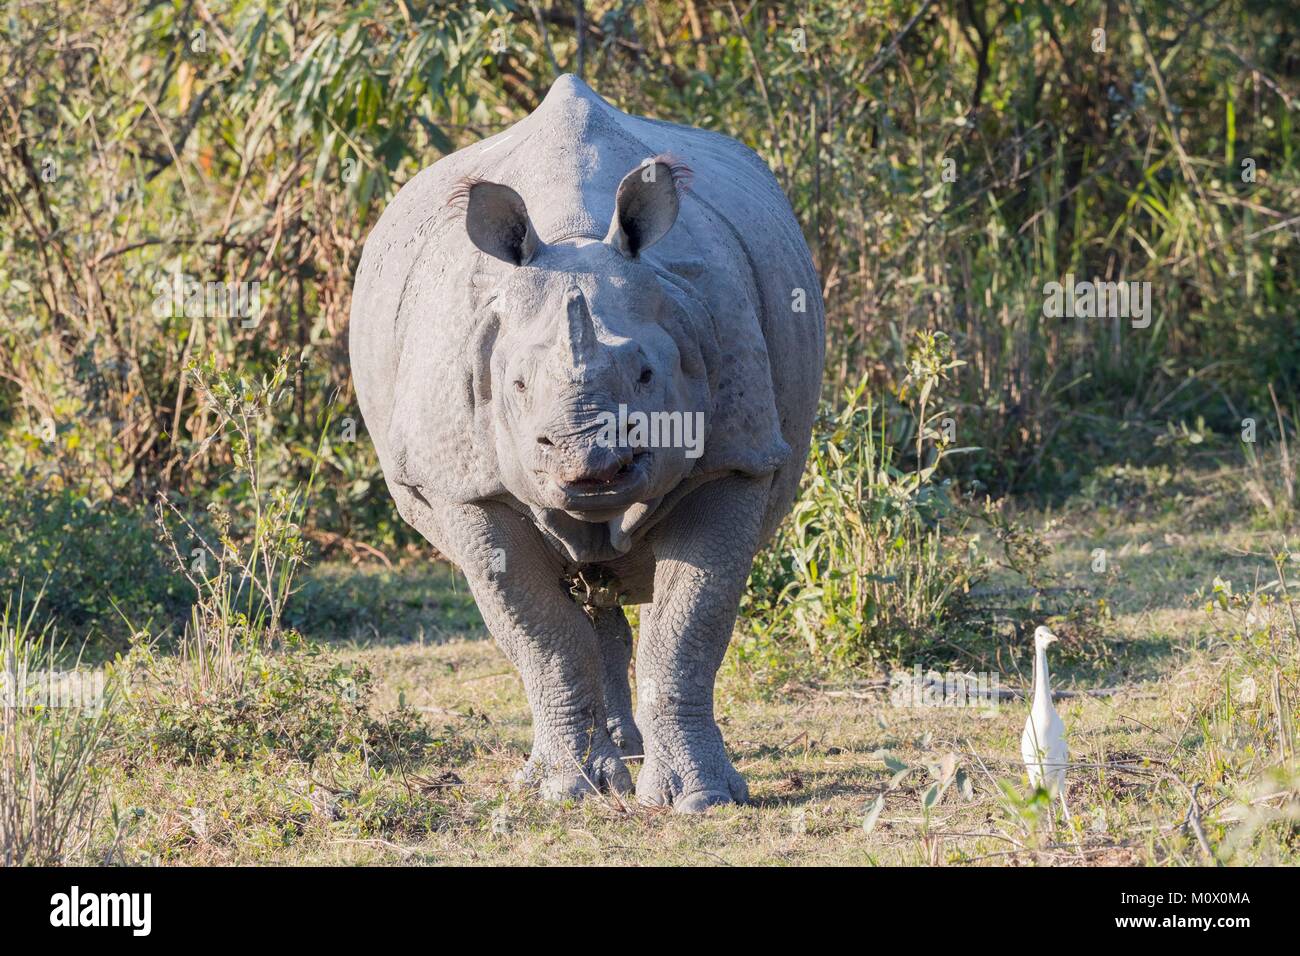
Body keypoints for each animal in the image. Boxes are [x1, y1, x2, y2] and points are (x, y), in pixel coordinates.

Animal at [349, 75, 823, 811]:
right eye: (515, 385)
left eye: (647, 374)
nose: (589, 463)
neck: (574, 232)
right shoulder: (466, 487)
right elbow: (541, 635)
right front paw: (559, 793)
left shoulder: (733, 461)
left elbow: (688, 625)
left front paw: (701, 799)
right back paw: (609, 765)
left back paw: (630, 756)